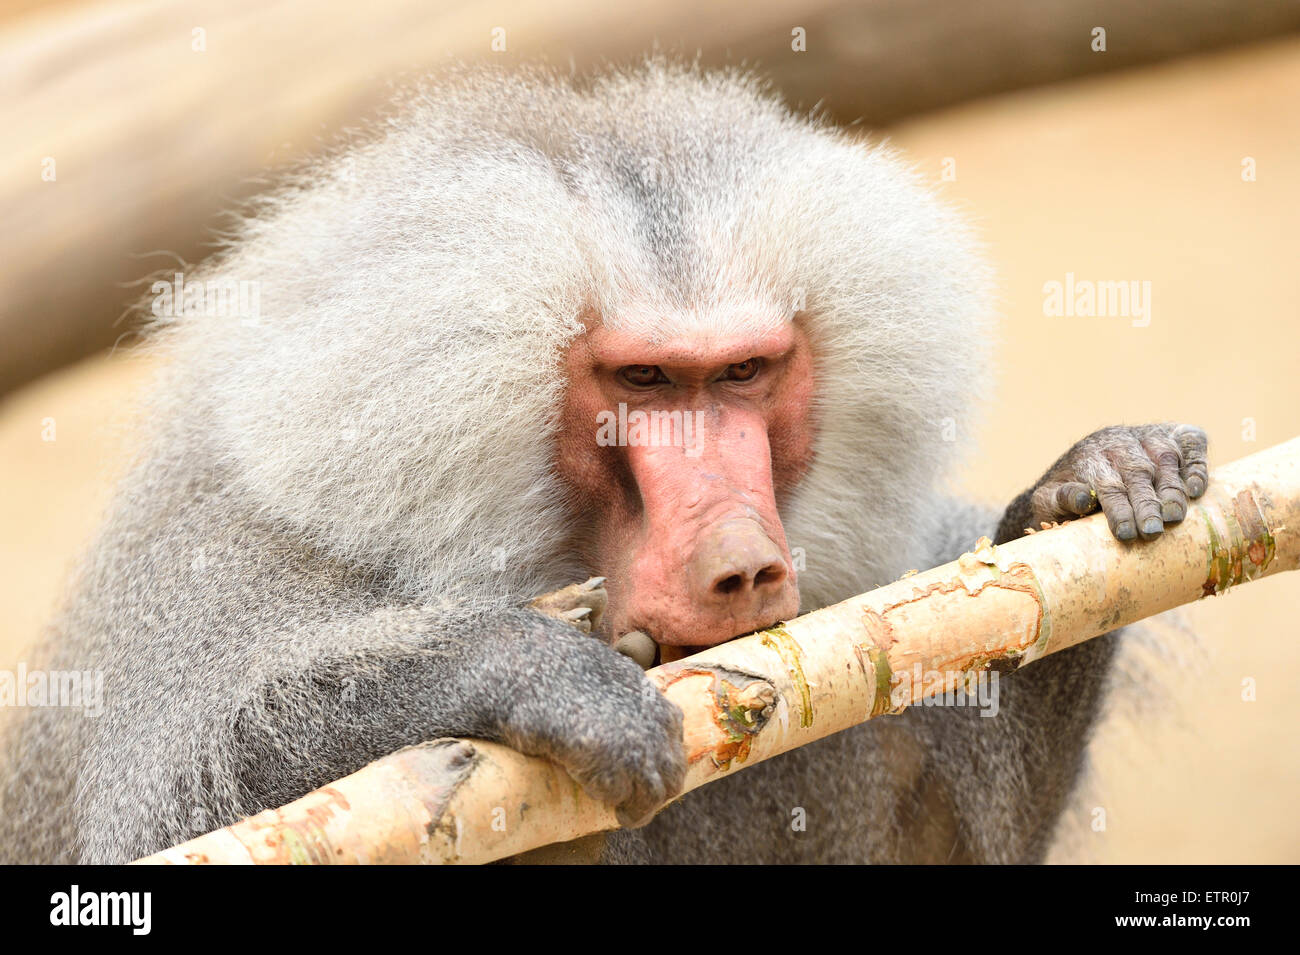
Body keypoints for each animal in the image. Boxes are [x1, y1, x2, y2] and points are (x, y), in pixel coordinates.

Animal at [0, 60, 1209, 865]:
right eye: (643, 381)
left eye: (743, 374)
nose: (742, 567)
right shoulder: (237, 570)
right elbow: (203, 817)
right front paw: (547, 676)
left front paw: (1080, 490)